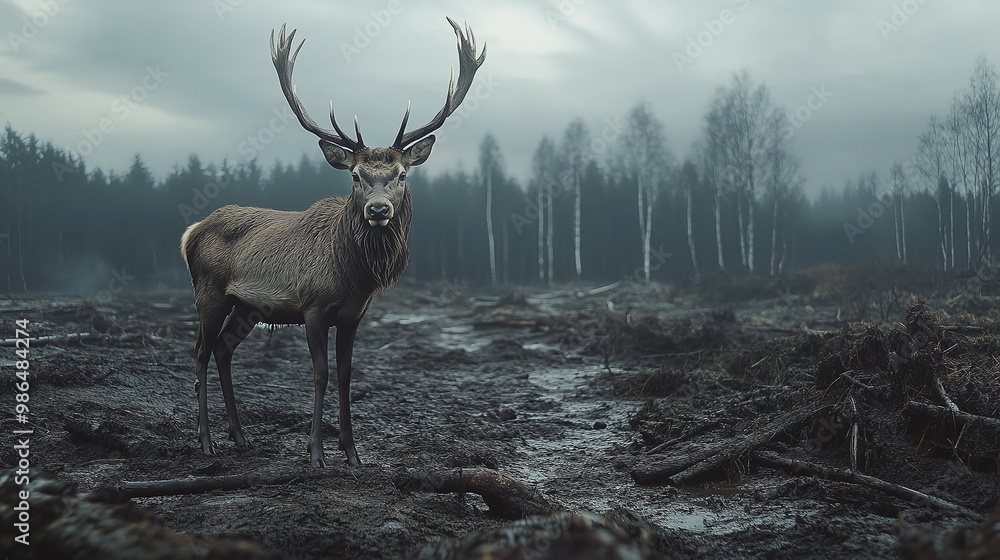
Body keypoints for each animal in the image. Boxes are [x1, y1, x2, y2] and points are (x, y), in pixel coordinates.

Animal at [180, 18, 485, 467]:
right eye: (356, 176)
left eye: (401, 174)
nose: (378, 209)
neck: (353, 275)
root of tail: (191, 231)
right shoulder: (312, 307)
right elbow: (321, 374)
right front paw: (316, 453)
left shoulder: (353, 314)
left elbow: (345, 374)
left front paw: (353, 452)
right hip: (209, 291)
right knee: (201, 350)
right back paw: (205, 440)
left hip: (246, 306)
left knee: (223, 349)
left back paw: (239, 435)